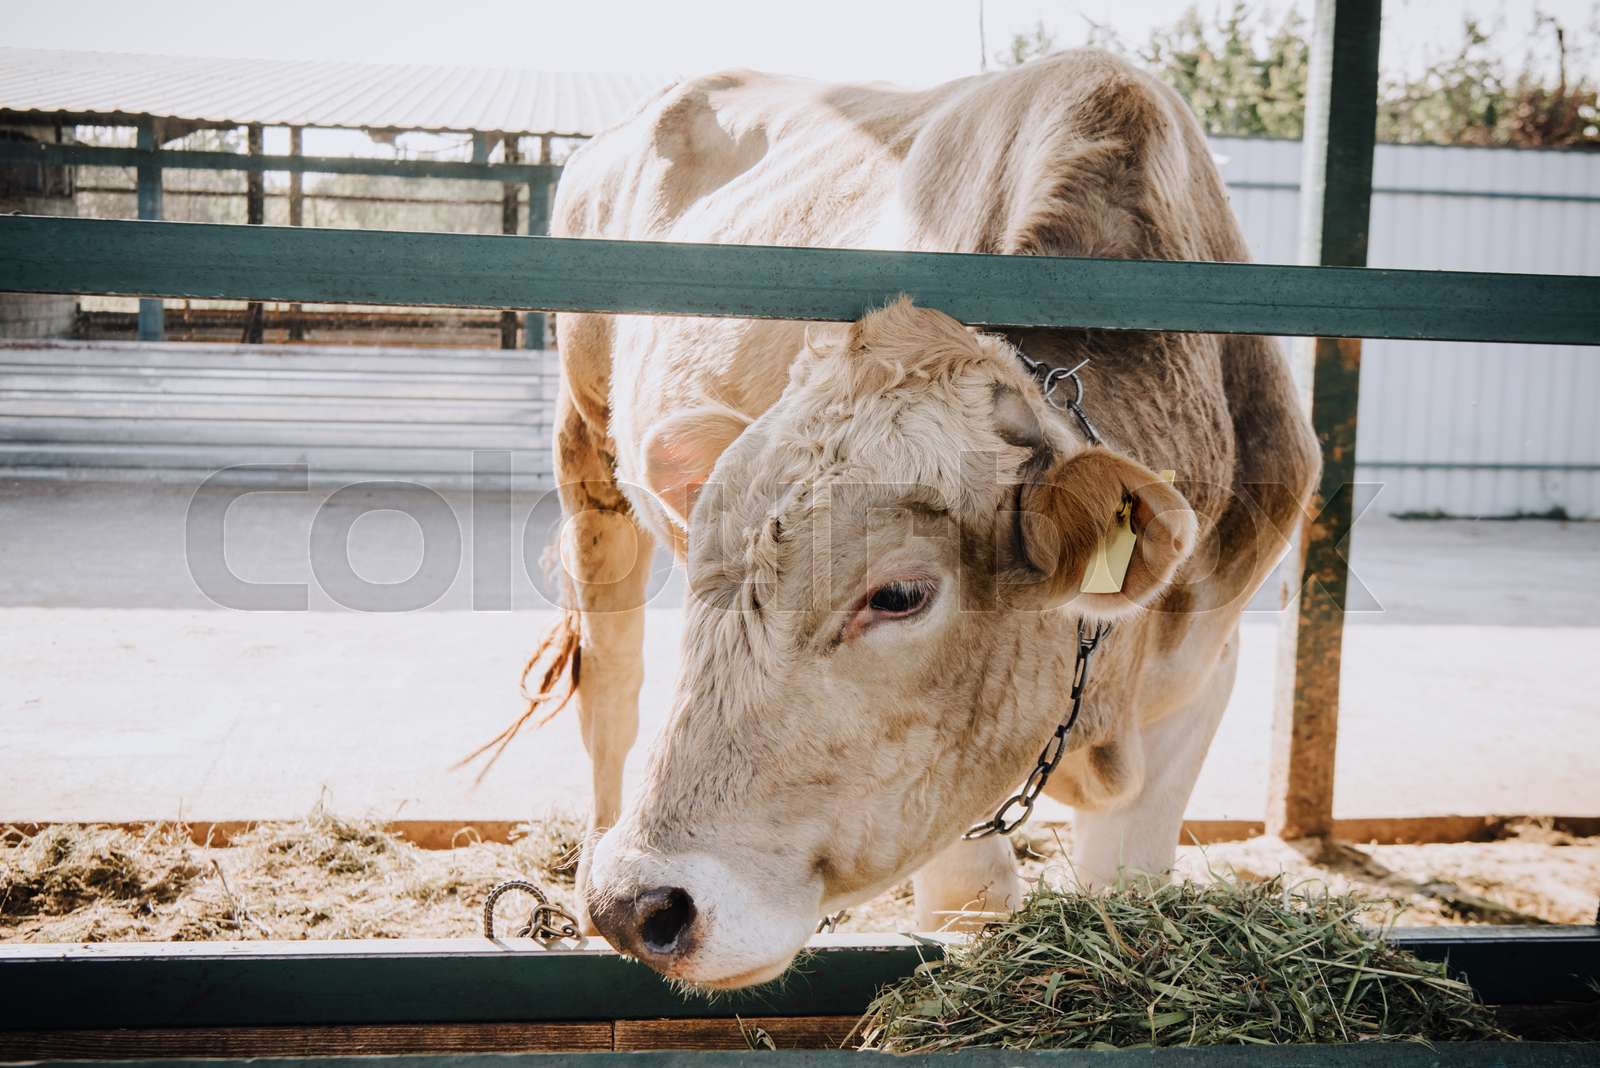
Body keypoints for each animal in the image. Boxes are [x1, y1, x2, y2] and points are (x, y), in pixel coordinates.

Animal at [529, 50, 1319, 989]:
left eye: (899, 595)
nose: (636, 905)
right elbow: (974, 904)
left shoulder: (1202, 671)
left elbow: (1128, 881)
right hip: (586, 454)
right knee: (611, 685)